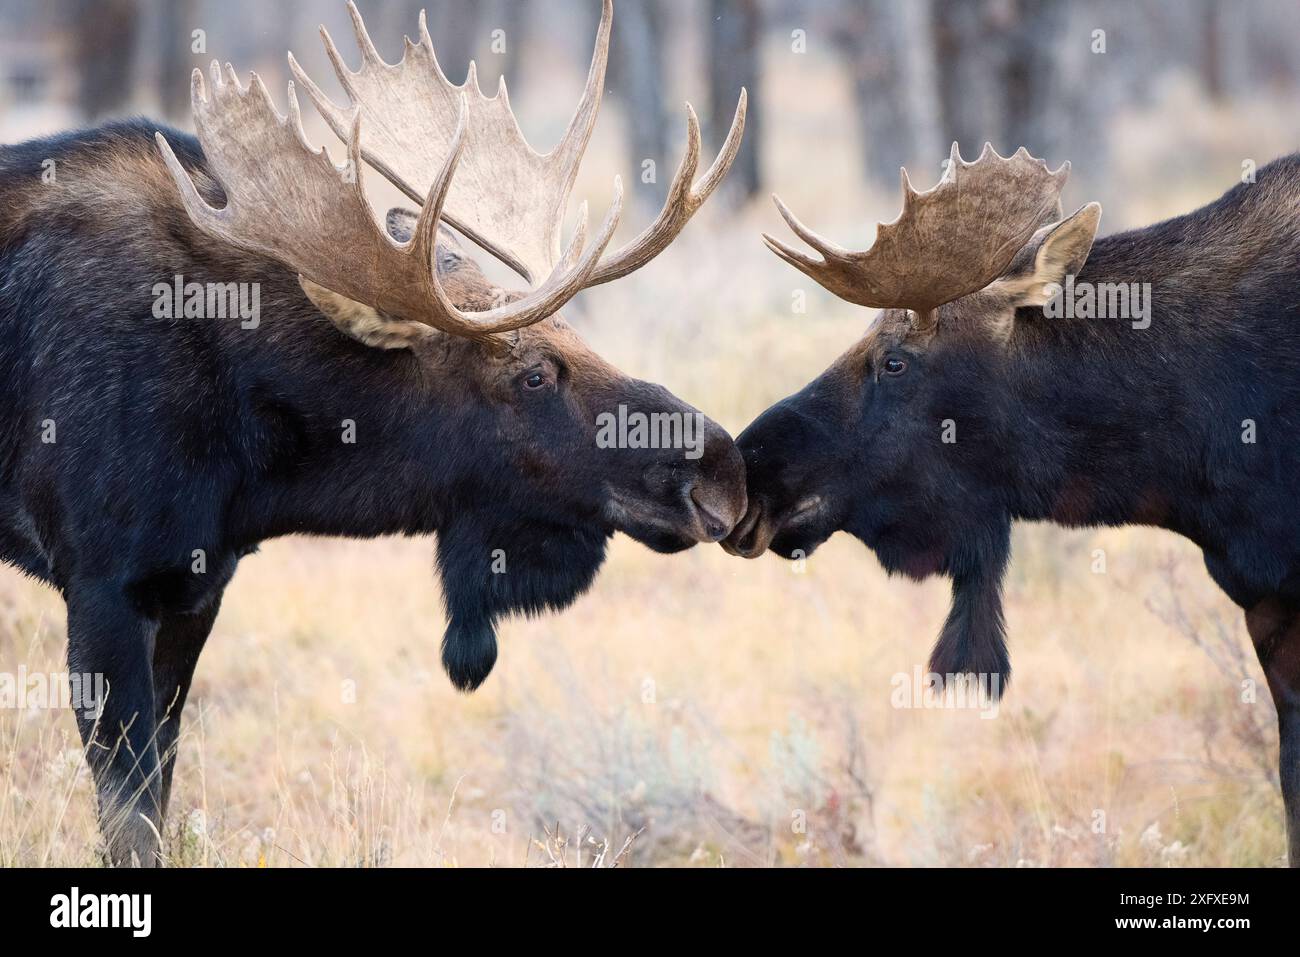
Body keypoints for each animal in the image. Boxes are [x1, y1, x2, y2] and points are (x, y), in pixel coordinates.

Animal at [0, 0, 747, 865]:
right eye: (530, 373)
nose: (721, 469)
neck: (250, 462)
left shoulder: (196, 585)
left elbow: (158, 788)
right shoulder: (102, 581)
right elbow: (128, 815)